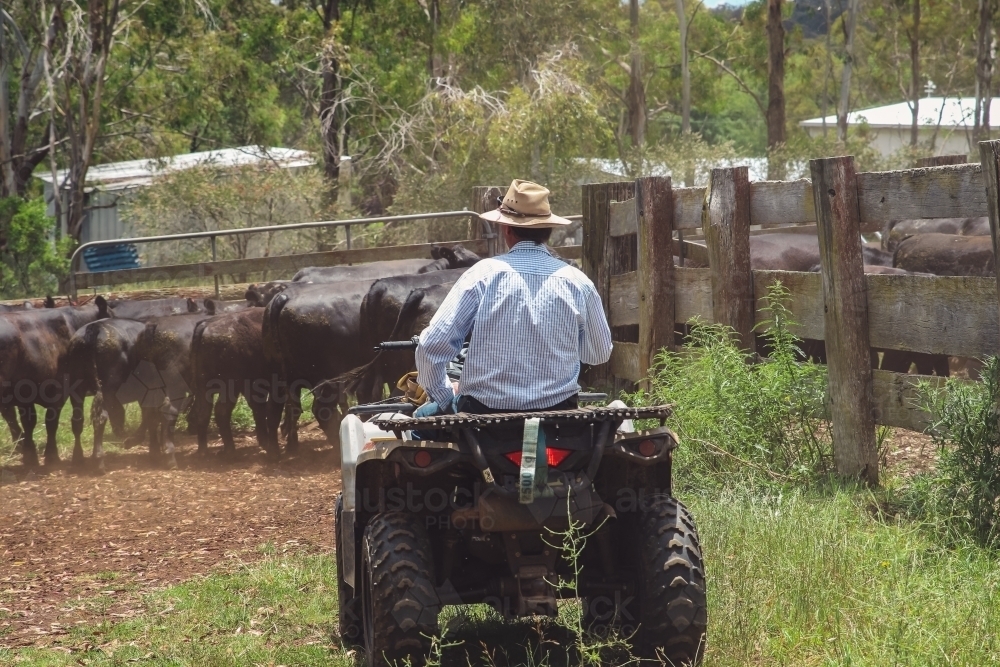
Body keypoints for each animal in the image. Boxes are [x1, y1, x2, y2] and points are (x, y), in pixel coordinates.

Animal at [0, 299, 109, 466]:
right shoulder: (60, 390)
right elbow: (51, 421)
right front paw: (51, 456)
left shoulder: (24, 394)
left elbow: (28, 423)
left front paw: (30, 456)